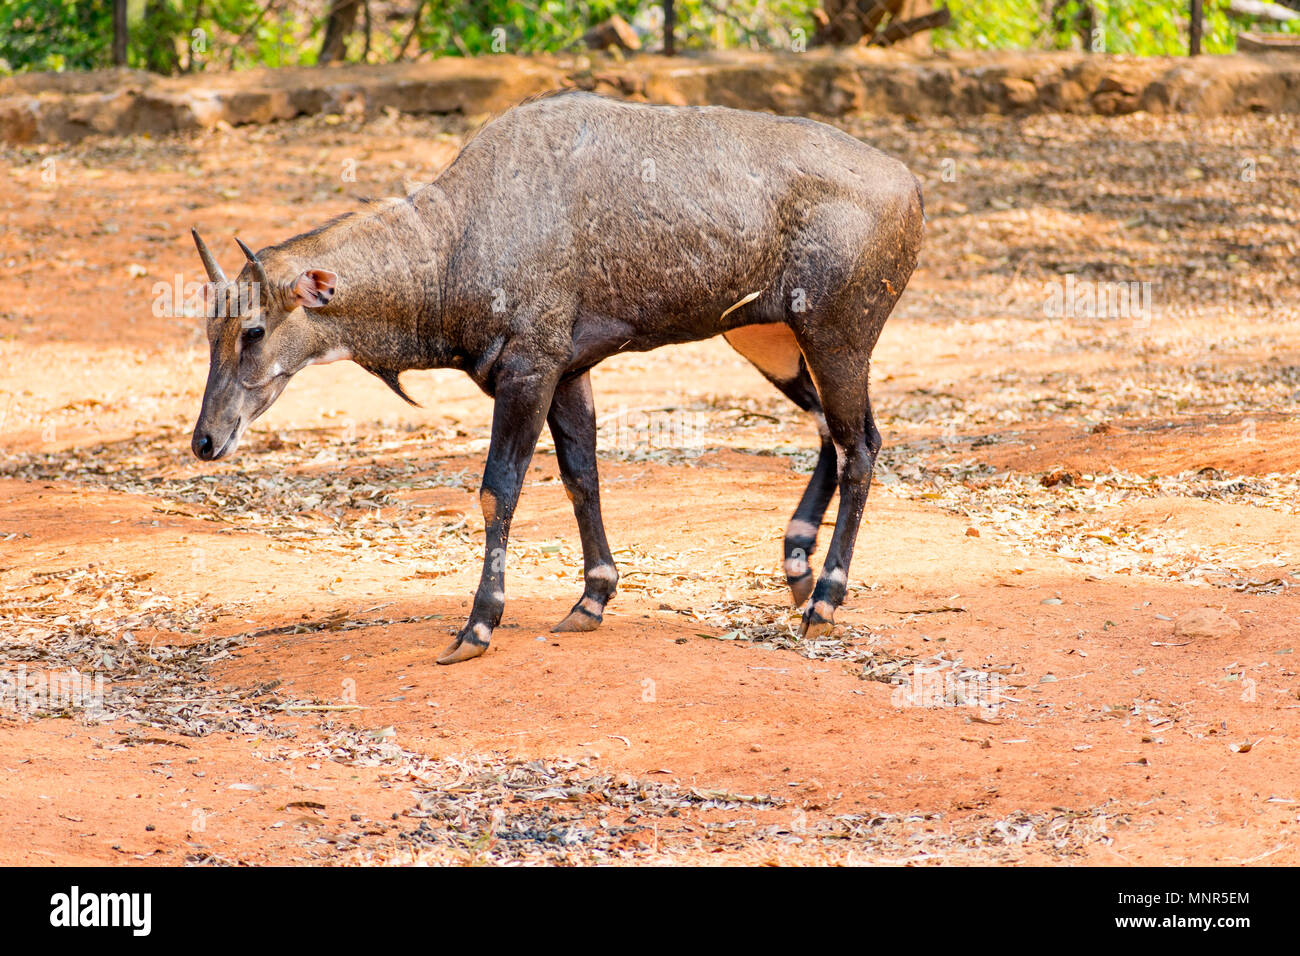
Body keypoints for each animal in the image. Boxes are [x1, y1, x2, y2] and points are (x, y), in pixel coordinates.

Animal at [190, 90, 924, 665]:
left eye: (253, 331)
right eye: (208, 327)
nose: (205, 440)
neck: (453, 241)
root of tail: (910, 185)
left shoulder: (529, 368)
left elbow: (499, 490)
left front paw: (477, 628)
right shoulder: (570, 373)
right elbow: (580, 478)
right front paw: (592, 597)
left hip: (836, 336)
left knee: (861, 445)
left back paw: (824, 598)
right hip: (767, 341)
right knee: (835, 431)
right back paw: (797, 563)